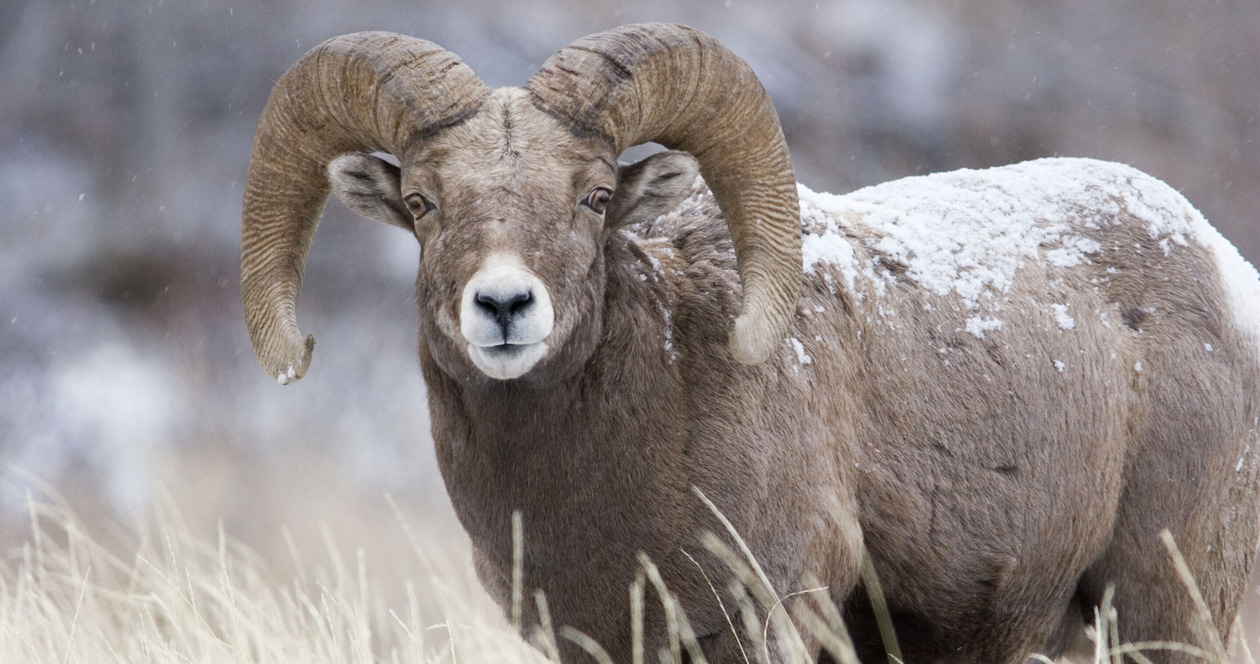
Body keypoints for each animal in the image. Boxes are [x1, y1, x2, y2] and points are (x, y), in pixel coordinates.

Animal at [240, 23, 1260, 664]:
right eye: (422, 203)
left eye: (594, 197)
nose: (503, 306)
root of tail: (1223, 268)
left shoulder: (768, 614)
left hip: (1169, 603)